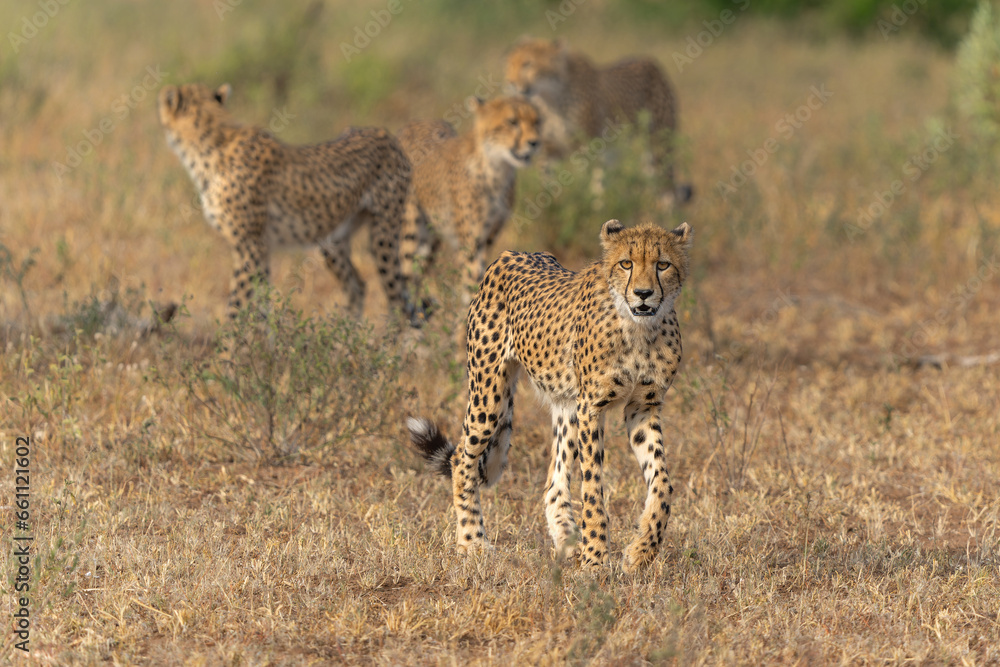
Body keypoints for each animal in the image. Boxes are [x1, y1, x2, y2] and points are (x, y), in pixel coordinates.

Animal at [158, 82, 423, 324]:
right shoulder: (261, 247)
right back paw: (344, 336)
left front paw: (229, 345)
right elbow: (259, 306)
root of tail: (385, 133)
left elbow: (237, 306)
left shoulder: (250, 245)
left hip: (383, 233)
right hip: (333, 240)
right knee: (358, 286)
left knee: (399, 299)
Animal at [396, 96, 541, 302]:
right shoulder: (471, 242)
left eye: (537, 122)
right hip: (410, 228)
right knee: (404, 274)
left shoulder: (489, 238)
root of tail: (415, 121)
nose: (535, 143)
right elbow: (471, 280)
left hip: (432, 237)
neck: (497, 168)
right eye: (512, 122)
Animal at [408, 218, 693, 572]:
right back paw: (472, 541)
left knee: (553, 483)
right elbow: (592, 487)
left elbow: (662, 483)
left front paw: (640, 552)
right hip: (489, 395)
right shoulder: (591, 407)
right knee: (462, 459)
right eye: (626, 263)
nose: (643, 294)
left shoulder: (643, 406)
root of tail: (511, 253)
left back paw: (568, 541)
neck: (640, 329)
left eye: (662, 264)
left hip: (566, 405)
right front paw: (595, 559)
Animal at [504, 37, 692, 205]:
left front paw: (583, 206)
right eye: (510, 65)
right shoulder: (550, 148)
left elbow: (583, 180)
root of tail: (651, 62)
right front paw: (550, 208)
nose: (510, 83)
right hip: (615, 150)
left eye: (527, 63)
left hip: (659, 142)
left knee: (666, 187)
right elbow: (547, 182)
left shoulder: (585, 147)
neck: (550, 99)